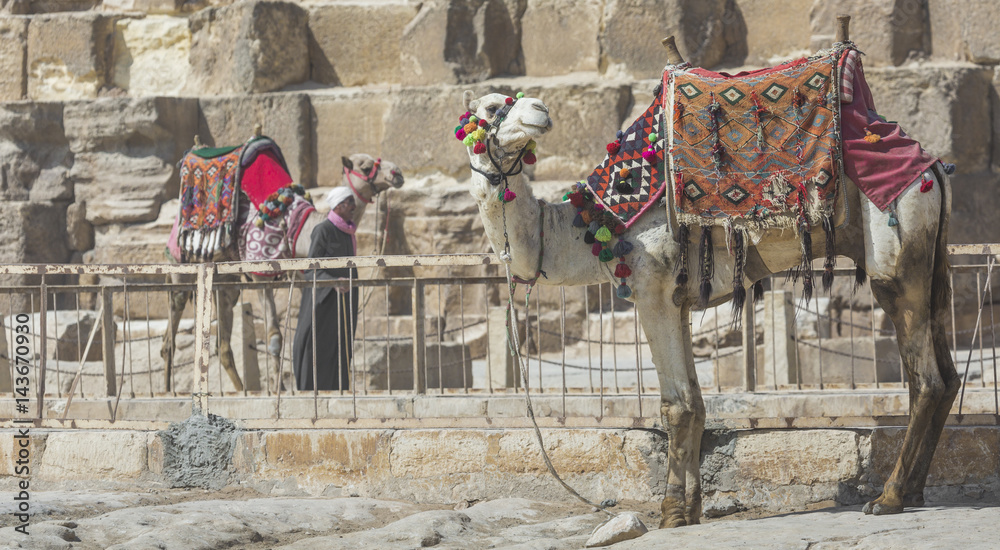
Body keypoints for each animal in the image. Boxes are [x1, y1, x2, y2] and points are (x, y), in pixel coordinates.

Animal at [161, 152, 404, 392]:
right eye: (365, 167)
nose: (397, 173)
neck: (298, 229)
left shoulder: (299, 275)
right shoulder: (260, 275)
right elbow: (275, 335)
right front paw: (282, 389)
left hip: (225, 282)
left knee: (222, 342)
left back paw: (241, 389)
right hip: (180, 266)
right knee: (171, 332)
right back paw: (168, 390)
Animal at [460, 30, 956, 528]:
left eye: (507, 102)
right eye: (490, 106)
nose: (540, 109)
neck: (596, 227)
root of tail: (931, 168)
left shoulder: (652, 291)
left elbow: (675, 405)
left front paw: (670, 514)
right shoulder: (677, 299)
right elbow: (696, 405)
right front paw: (691, 507)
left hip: (897, 248)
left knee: (925, 379)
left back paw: (889, 497)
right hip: (932, 261)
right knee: (948, 375)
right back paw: (914, 490)